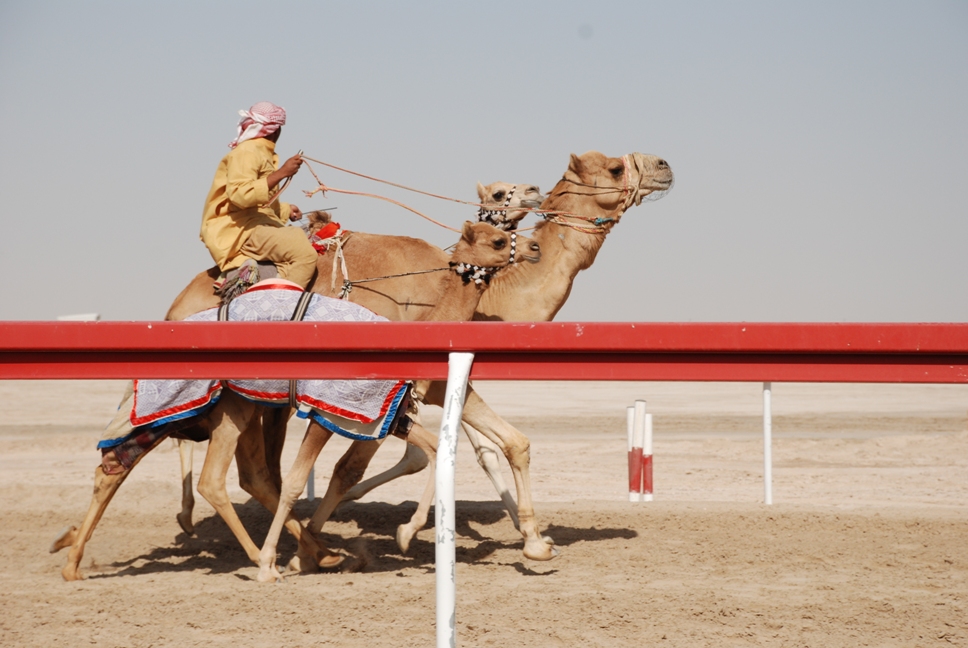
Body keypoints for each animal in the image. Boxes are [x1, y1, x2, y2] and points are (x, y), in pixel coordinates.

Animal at [51, 221, 532, 581]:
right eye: (497, 239)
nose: (531, 246)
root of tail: (175, 310)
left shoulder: (390, 411)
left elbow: (446, 449)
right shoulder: (339, 412)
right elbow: (314, 477)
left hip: (238, 408)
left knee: (193, 469)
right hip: (216, 405)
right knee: (193, 472)